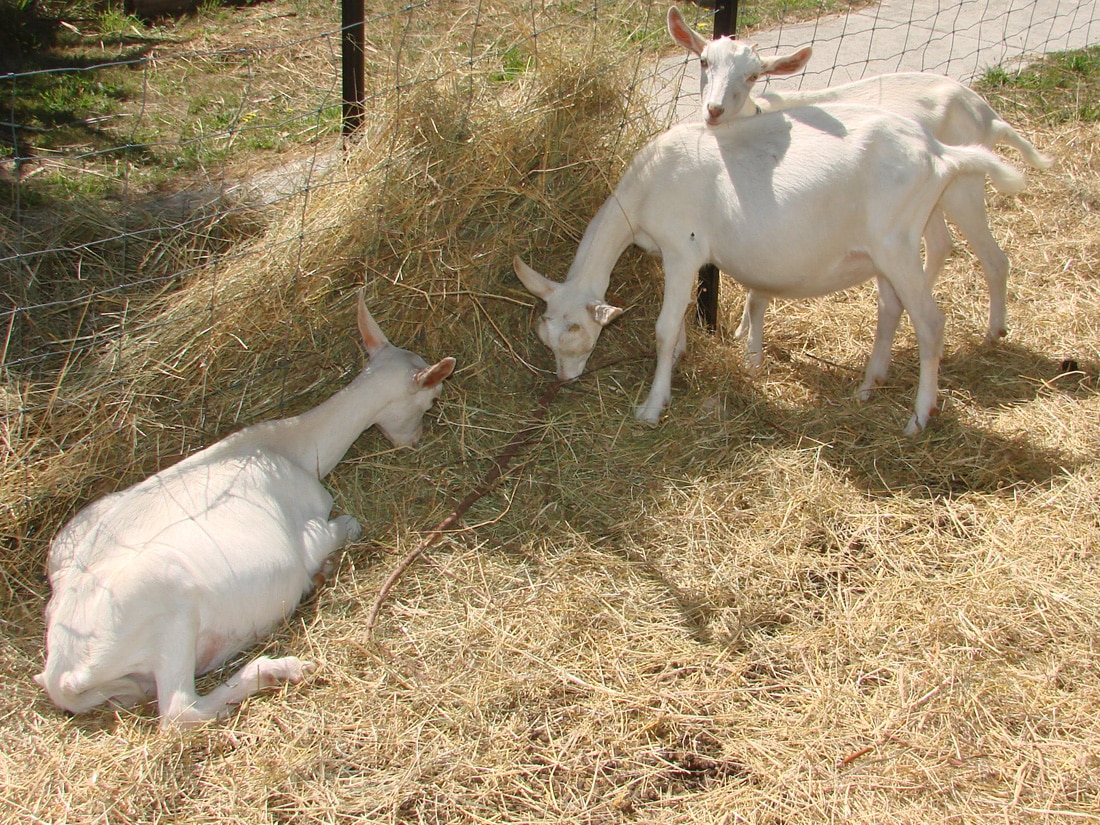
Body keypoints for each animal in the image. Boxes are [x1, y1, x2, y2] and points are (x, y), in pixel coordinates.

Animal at [36, 293, 456, 729]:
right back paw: (280, 668)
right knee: (179, 711)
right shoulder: (308, 534)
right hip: (166, 604)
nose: (417, 439)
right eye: (433, 397)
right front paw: (322, 568)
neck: (293, 449)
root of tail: (62, 676)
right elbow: (348, 524)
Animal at [515, 105, 1025, 433]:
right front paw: (678, 359)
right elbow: (677, 323)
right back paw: (868, 385)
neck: (643, 193)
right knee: (890, 307)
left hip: (897, 242)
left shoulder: (683, 250)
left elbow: (662, 327)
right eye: (545, 338)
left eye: (578, 333)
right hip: (887, 249)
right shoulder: (674, 257)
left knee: (931, 322)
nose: (564, 378)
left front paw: (652, 405)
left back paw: (919, 416)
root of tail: (940, 153)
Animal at [667, 6, 1052, 361]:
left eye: (752, 75)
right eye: (704, 61)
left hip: (964, 187)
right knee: (941, 244)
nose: (714, 110)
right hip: (924, 201)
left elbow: (759, 288)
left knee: (993, 257)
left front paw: (747, 343)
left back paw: (993, 332)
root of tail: (987, 113)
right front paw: (742, 333)